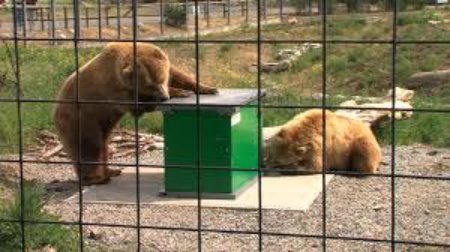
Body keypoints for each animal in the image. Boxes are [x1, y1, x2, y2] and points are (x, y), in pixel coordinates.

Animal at [52, 42, 218, 185]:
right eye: (150, 85)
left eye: (162, 79)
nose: (164, 97)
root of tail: (56, 109)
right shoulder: (113, 91)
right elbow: (137, 104)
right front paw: (179, 92)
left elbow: (178, 74)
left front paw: (207, 88)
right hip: (81, 117)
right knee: (90, 146)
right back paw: (98, 178)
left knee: (104, 145)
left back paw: (112, 170)